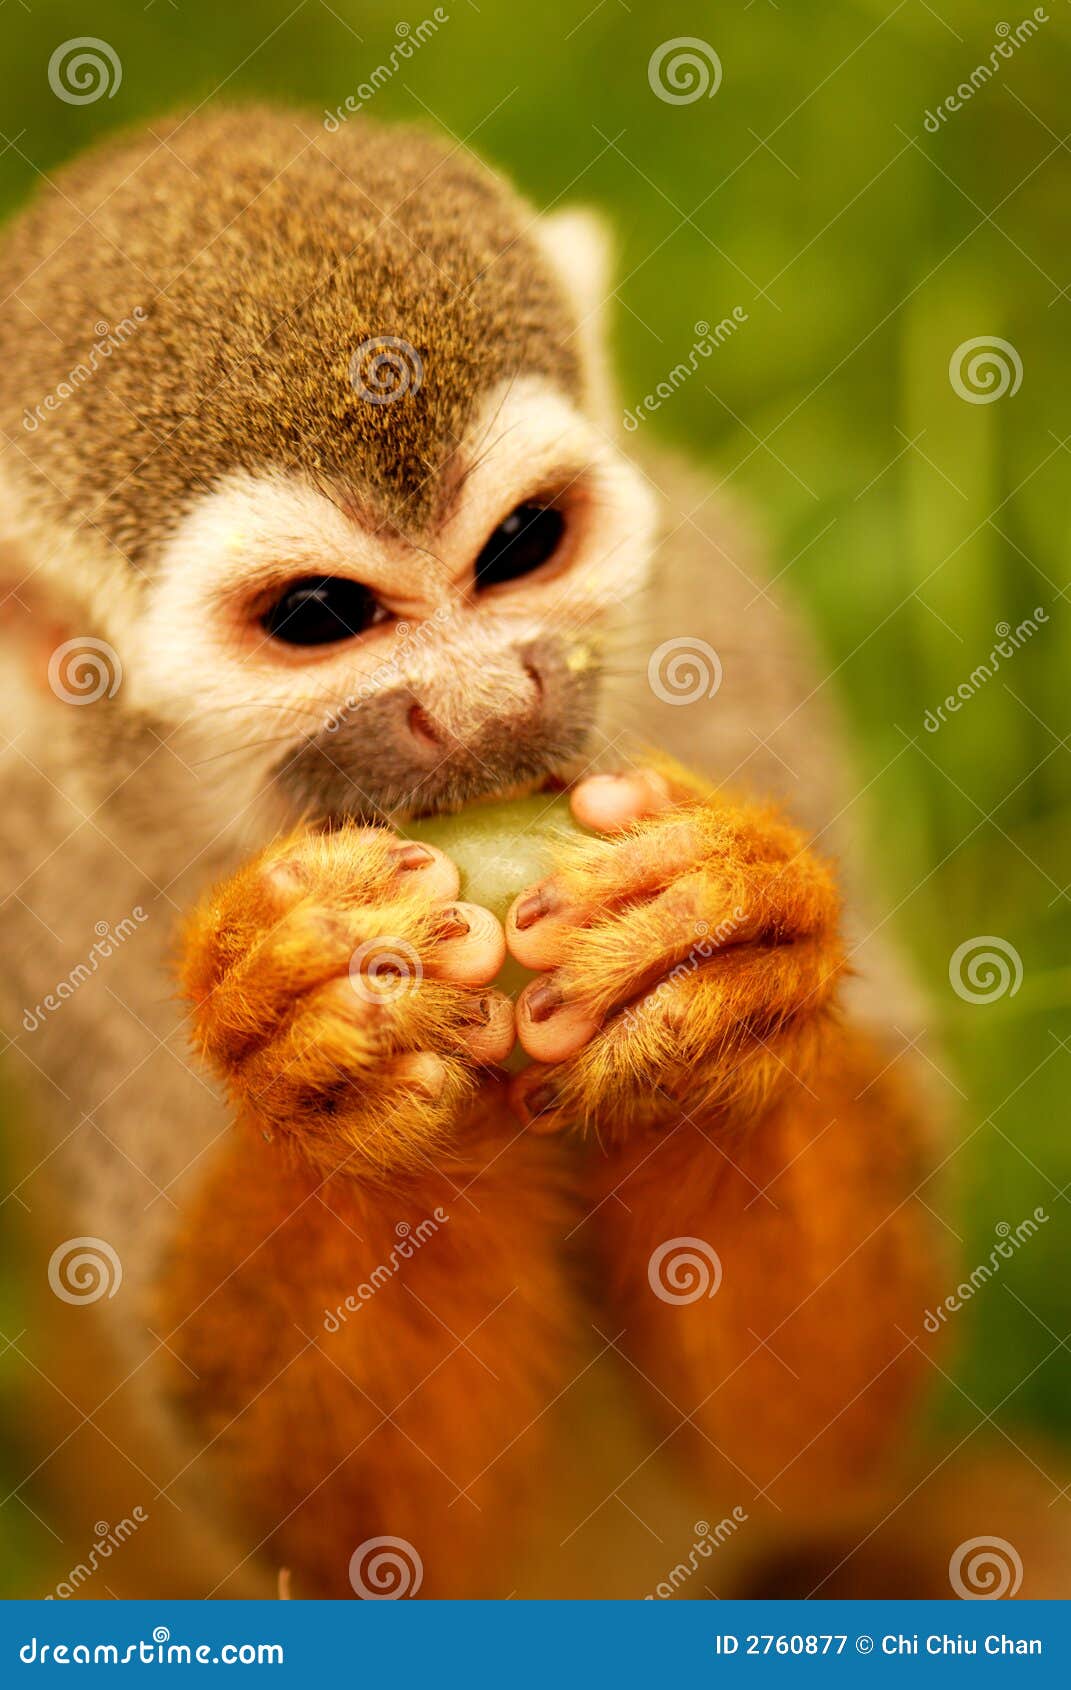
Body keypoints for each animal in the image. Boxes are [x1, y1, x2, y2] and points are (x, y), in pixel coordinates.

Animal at [0, 104, 950, 1599]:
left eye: (520, 544)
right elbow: (378, 1540)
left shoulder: (724, 612)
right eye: (319, 614)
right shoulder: (36, 875)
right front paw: (315, 1051)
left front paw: (719, 971)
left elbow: (809, 1435)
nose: (493, 700)